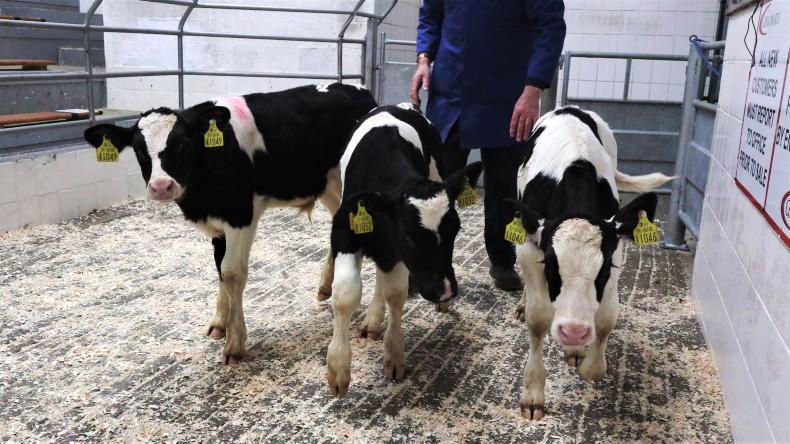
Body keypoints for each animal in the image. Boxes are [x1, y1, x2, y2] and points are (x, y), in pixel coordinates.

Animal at [83, 83, 377, 365]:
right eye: (139, 149)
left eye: (182, 144)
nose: (161, 186)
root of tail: (356, 90)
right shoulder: (218, 224)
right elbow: (219, 269)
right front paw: (219, 323)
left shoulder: (241, 215)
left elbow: (233, 272)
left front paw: (235, 343)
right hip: (327, 188)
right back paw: (326, 285)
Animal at [325, 103, 483, 397]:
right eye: (408, 237)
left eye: (455, 230)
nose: (445, 290)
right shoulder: (344, 232)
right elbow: (346, 294)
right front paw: (338, 368)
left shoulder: (394, 252)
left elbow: (395, 294)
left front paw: (394, 354)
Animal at [502, 106, 673, 420]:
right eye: (551, 266)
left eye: (603, 270)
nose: (574, 331)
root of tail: (571, 108)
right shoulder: (529, 248)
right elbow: (538, 318)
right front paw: (533, 393)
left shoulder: (615, 250)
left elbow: (605, 319)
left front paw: (588, 362)